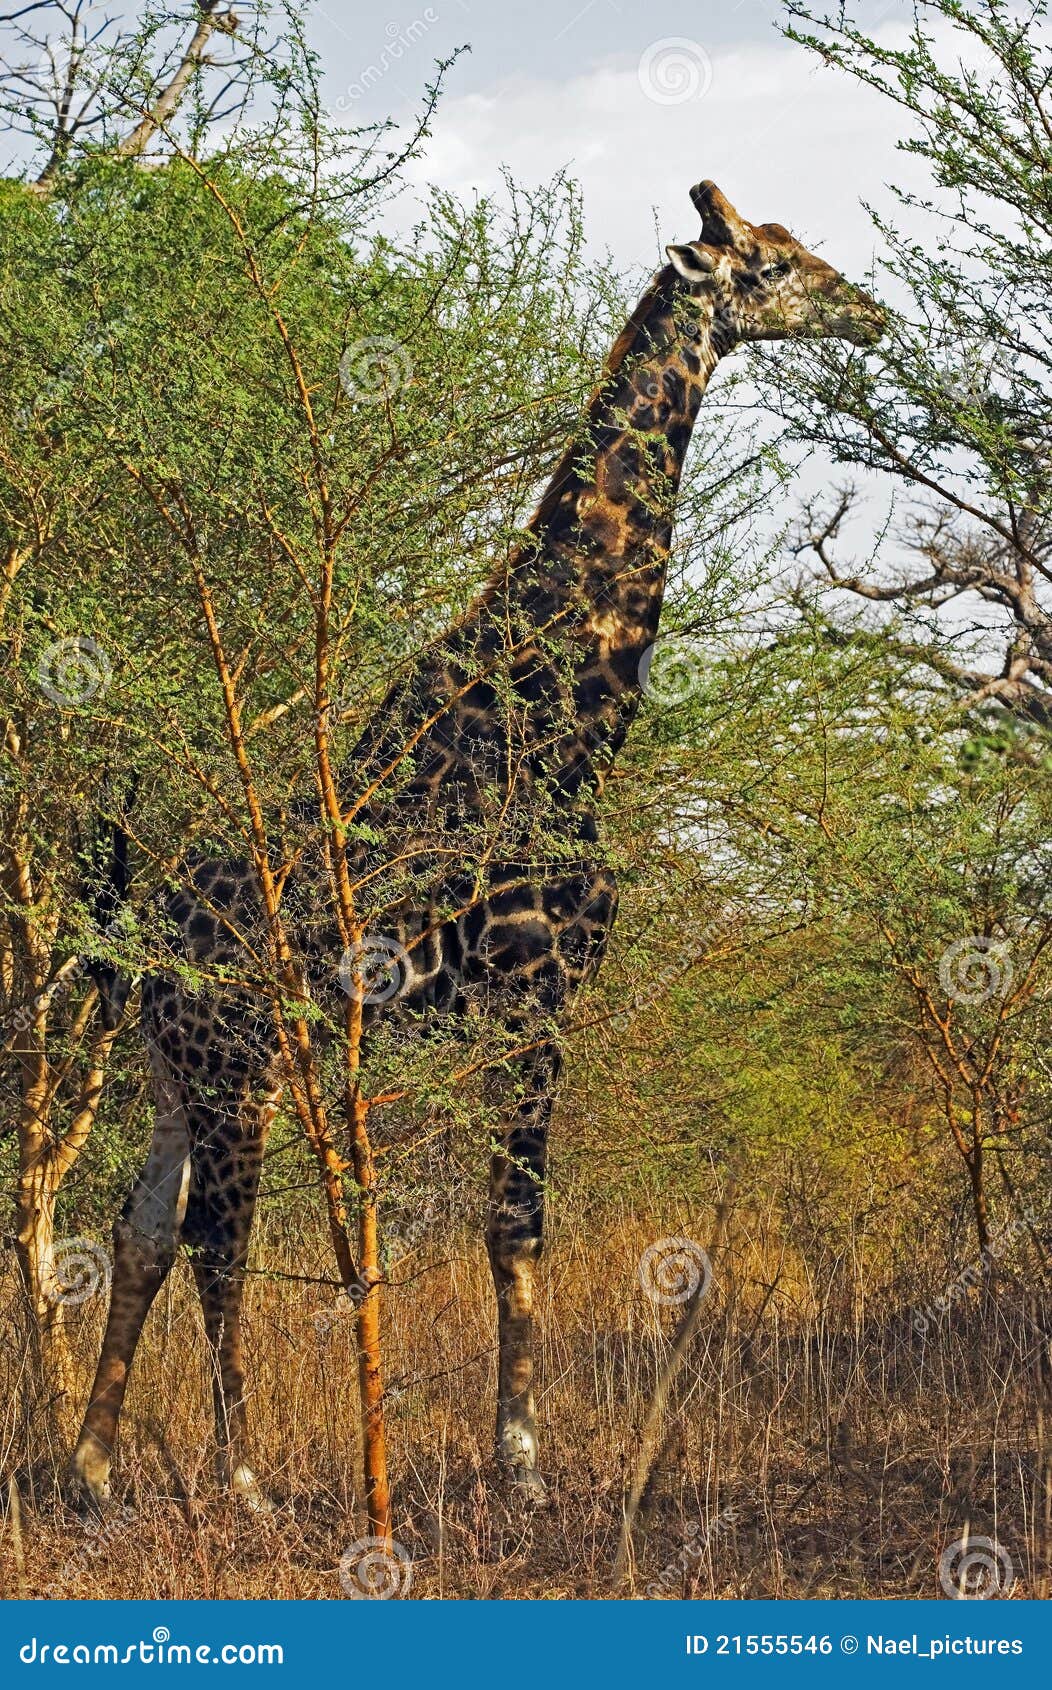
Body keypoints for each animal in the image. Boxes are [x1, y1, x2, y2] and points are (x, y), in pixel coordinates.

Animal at [72, 181, 881, 1511]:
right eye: (771, 266)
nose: (868, 312)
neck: (567, 715)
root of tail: (139, 940)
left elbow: (505, 1226)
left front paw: (515, 1453)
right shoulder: (535, 996)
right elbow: (514, 1224)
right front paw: (521, 1463)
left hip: (171, 1070)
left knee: (141, 1231)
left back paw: (89, 1463)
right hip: (240, 1063)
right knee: (215, 1242)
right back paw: (239, 1478)